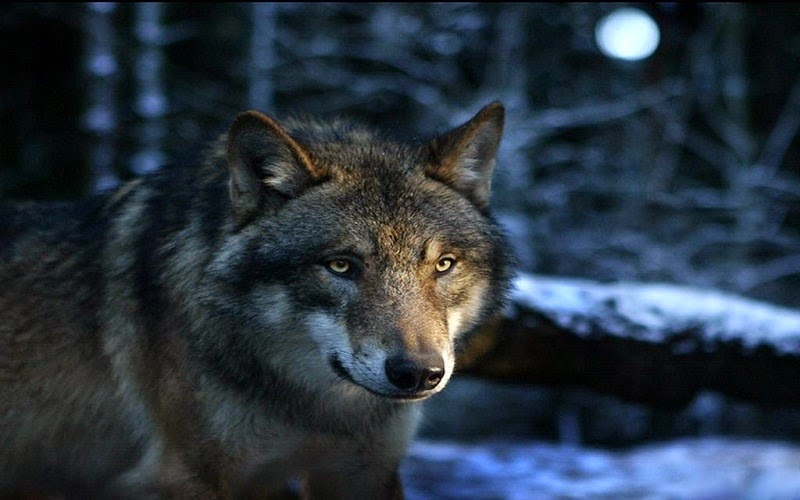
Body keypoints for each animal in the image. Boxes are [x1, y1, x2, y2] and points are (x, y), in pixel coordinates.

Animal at [0, 101, 512, 499]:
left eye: (443, 264)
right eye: (341, 265)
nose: (419, 374)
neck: (319, 409)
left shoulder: (363, 473)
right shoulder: (184, 478)